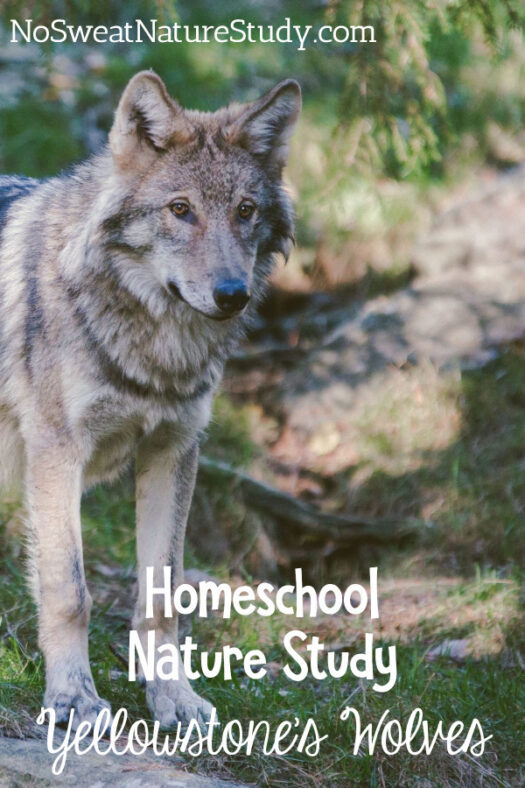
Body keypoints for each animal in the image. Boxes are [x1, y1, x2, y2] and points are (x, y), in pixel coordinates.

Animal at [0, 71, 300, 728]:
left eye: (245, 211)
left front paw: (172, 697)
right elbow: (70, 590)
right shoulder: (57, 454)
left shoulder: (173, 450)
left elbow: (164, 598)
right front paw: (72, 697)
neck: (156, 349)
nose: (233, 294)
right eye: (180, 210)